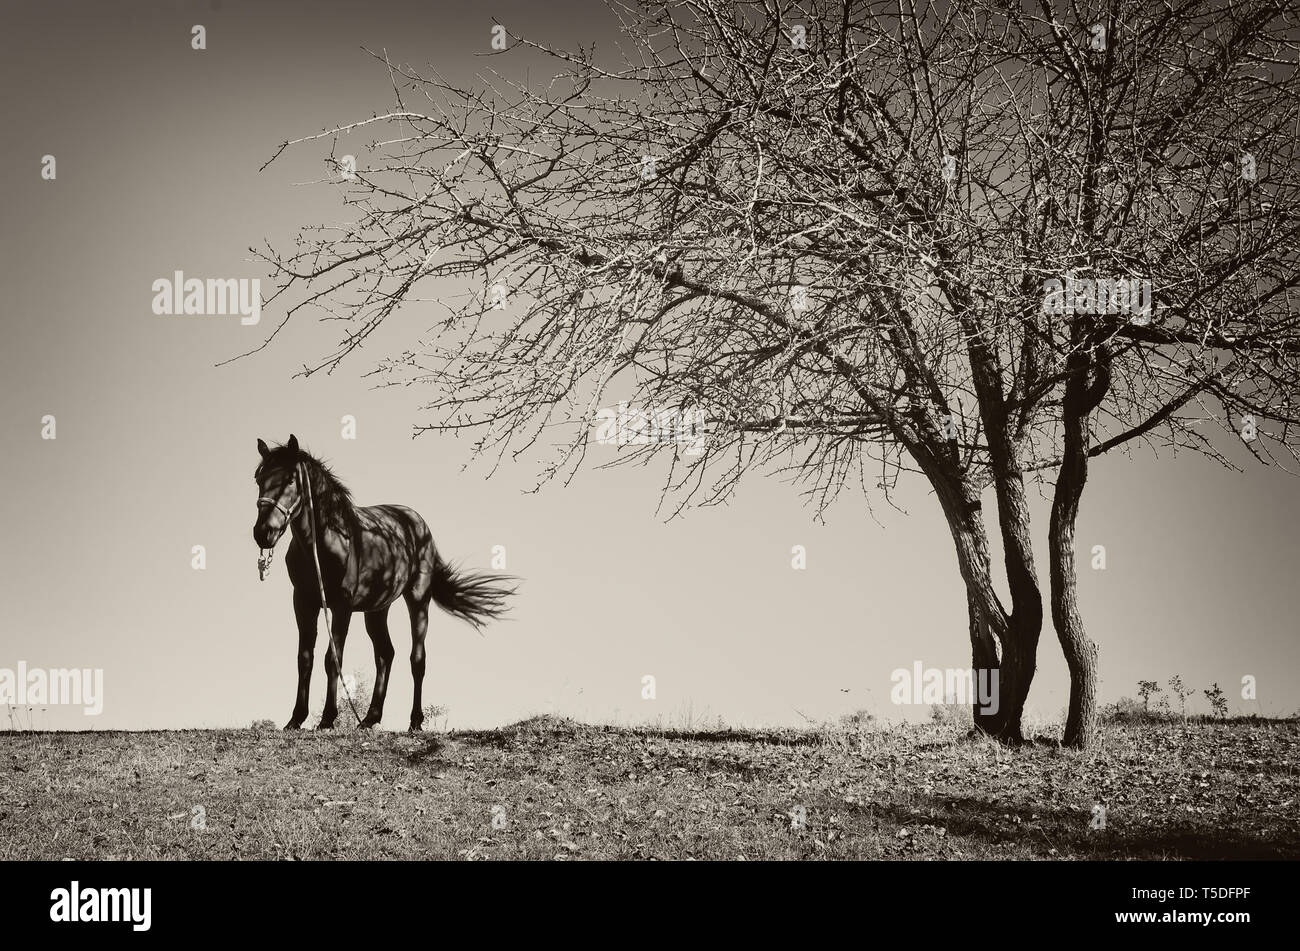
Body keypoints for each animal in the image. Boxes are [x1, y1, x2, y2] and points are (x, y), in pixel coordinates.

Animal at [252, 434, 515, 731]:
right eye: (259, 479)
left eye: (290, 480)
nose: (263, 533)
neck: (329, 541)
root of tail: (417, 524)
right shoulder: (303, 603)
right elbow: (304, 659)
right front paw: (296, 719)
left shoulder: (341, 606)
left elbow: (333, 659)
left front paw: (327, 719)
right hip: (377, 610)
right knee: (385, 654)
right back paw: (369, 718)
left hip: (418, 599)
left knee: (417, 659)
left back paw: (415, 721)